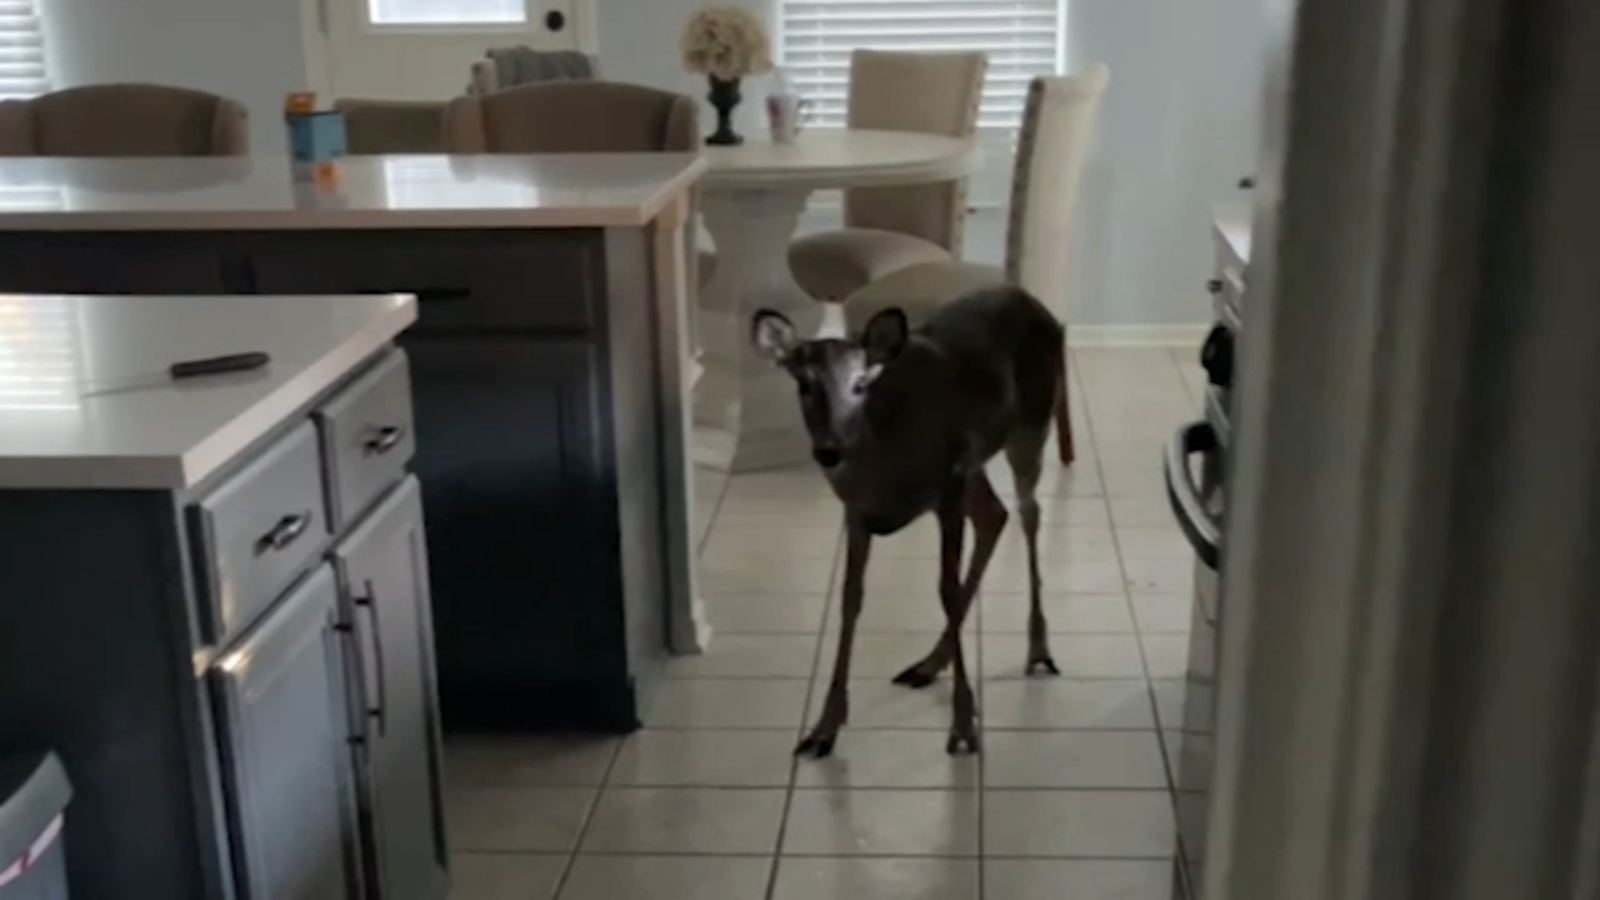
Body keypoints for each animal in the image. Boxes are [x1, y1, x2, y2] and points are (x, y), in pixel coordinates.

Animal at [751, 284, 1073, 756]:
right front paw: (823, 728)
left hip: (1032, 421)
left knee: (1029, 512)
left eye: (861, 383)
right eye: (805, 383)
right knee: (994, 514)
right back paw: (928, 663)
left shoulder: (948, 485)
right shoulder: (856, 512)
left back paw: (1037, 648)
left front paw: (964, 726)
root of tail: (1031, 299)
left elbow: (946, 591)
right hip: (977, 460)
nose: (829, 450)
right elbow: (851, 598)